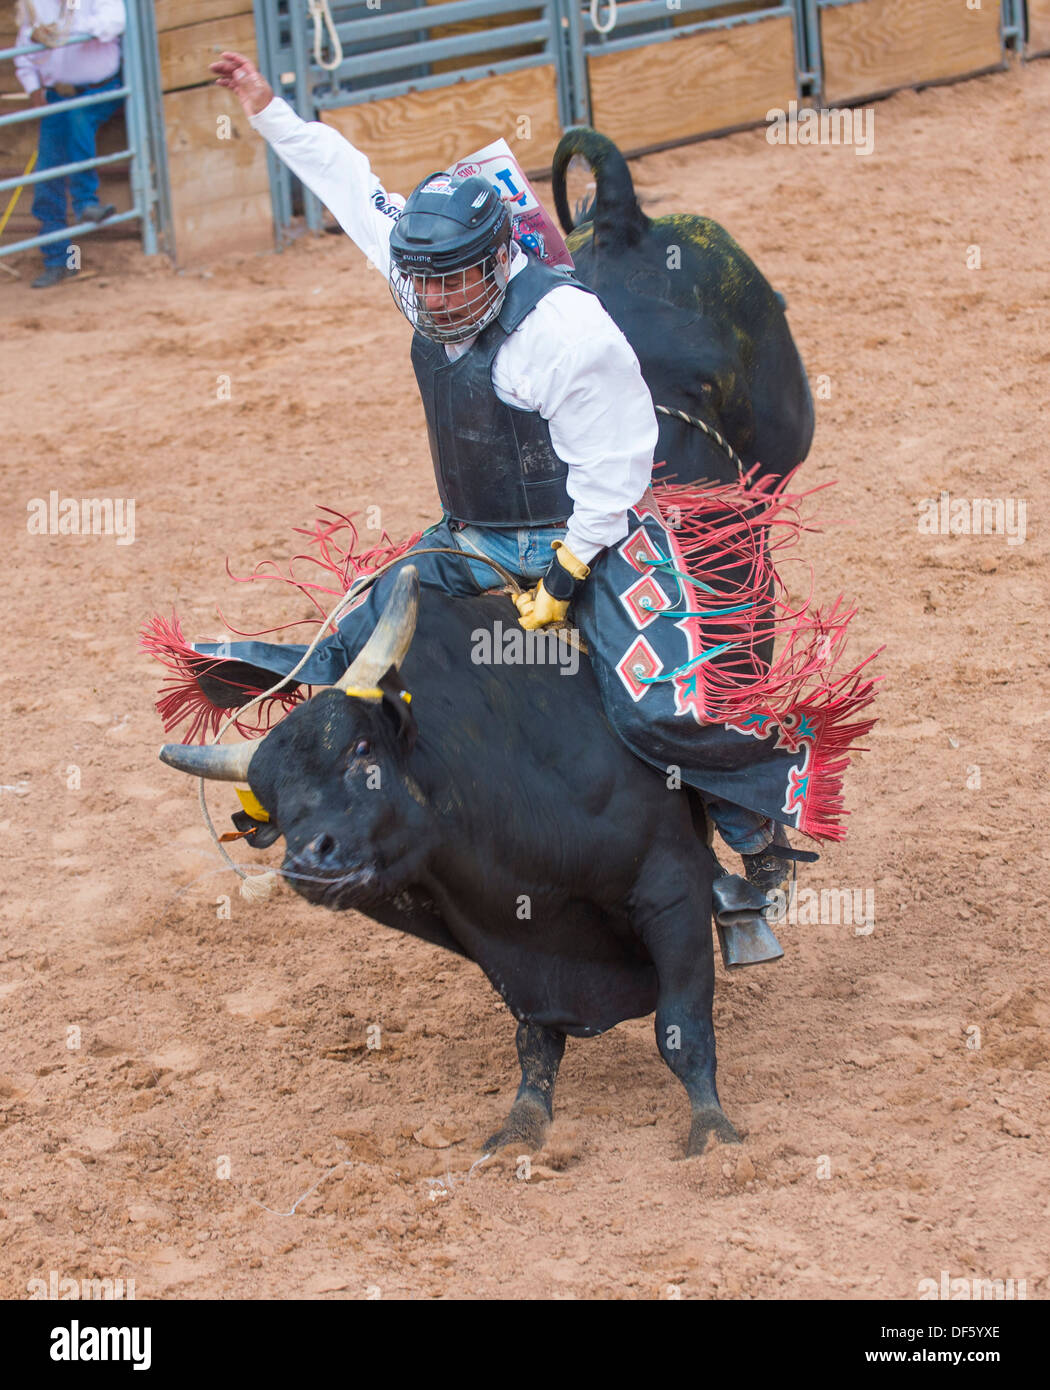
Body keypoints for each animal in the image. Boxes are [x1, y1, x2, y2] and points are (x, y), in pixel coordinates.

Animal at [158, 566, 778, 1157]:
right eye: (273, 802)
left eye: (361, 749)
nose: (308, 859)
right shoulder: (507, 941)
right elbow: (536, 1042)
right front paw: (522, 1129)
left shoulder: (672, 888)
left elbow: (682, 1028)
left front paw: (714, 1135)